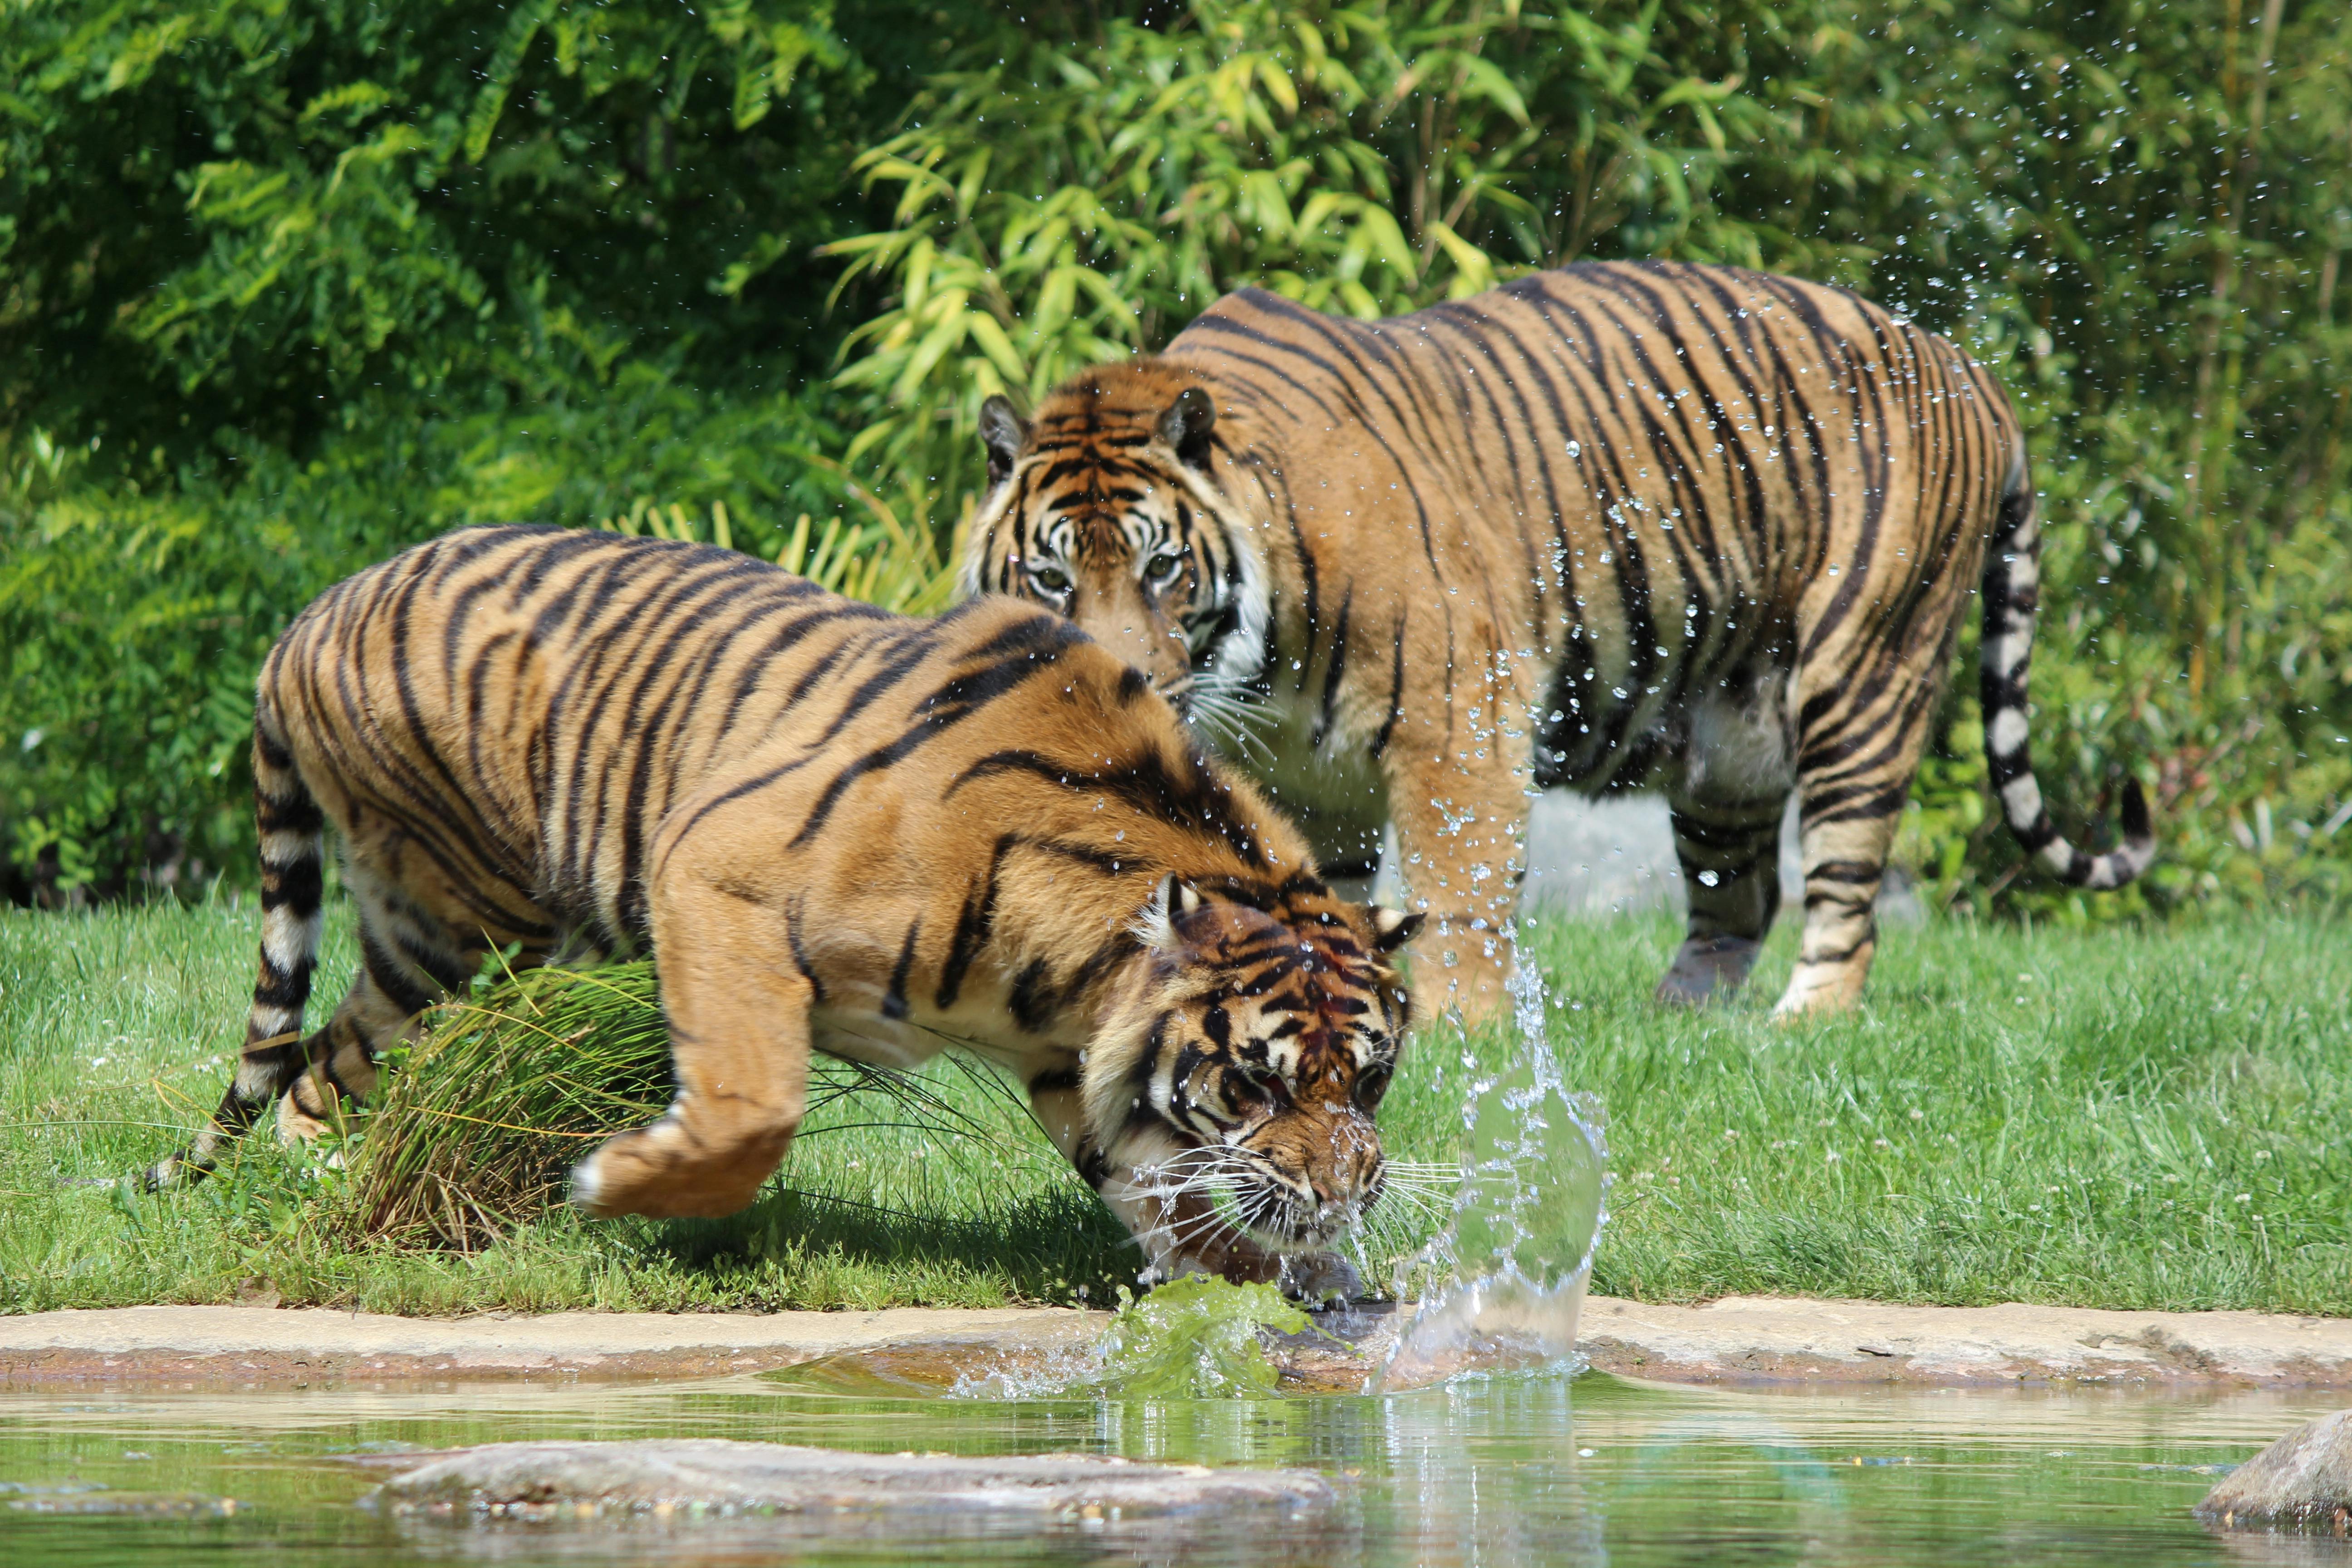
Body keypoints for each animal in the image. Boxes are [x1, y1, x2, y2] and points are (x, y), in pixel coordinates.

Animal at [155, 525, 1422, 1294]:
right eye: (1256, 1082)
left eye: (1367, 1080)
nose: (1345, 1189)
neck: (1079, 960)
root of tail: (304, 618)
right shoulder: (712, 870)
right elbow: (752, 1102)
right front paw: (617, 1185)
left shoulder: (1080, 1055)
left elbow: (1167, 1193)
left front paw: (1289, 1302)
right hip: (463, 908)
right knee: (320, 1057)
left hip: (431, 937)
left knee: (322, 1057)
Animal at [965, 260, 2154, 1019]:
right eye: (1053, 578)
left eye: (1163, 570)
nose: (1119, 676)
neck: (1258, 675)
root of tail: (1973, 367)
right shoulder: (1303, 775)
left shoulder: (1461, 725)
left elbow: (1461, 897)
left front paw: (1468, 1033)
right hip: (1732, 735)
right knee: (1738, 895)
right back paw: (1678, 1021)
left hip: (1864, 672)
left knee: (1843, 890)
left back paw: (1805, 1018)